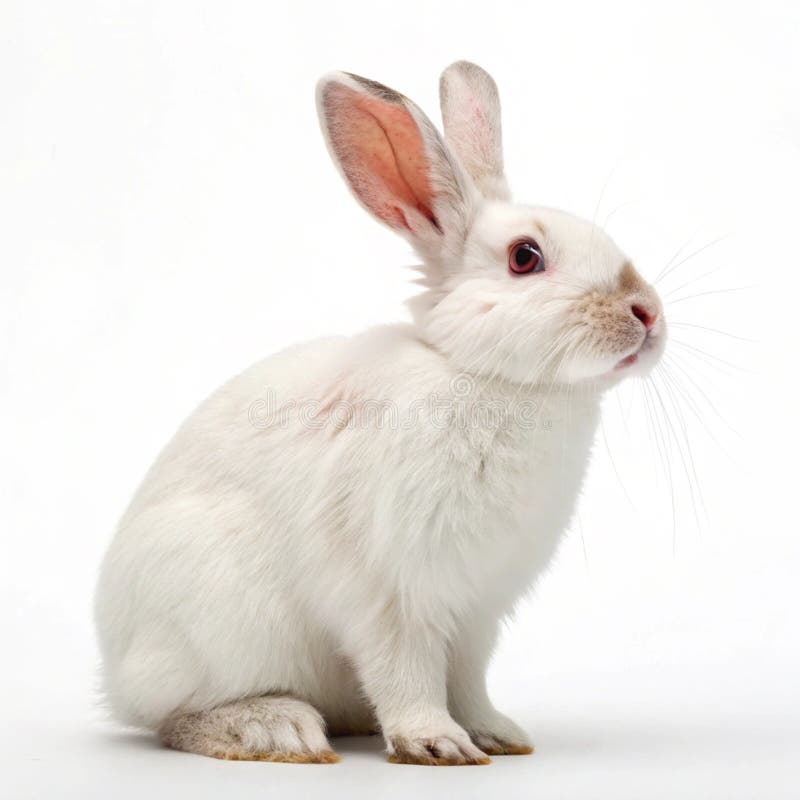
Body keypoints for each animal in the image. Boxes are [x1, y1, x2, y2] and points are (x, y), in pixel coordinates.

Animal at [94, 61, 665, 766]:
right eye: (524, 257)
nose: (648, 312)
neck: (488, 376)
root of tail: (114, 670)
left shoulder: (477, 609)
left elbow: (468, 679)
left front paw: (496, 735)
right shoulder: (393, 593)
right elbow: (407, 671)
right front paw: (436, 744)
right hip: (214, 623)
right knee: (173, 719)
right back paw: (277, 729)